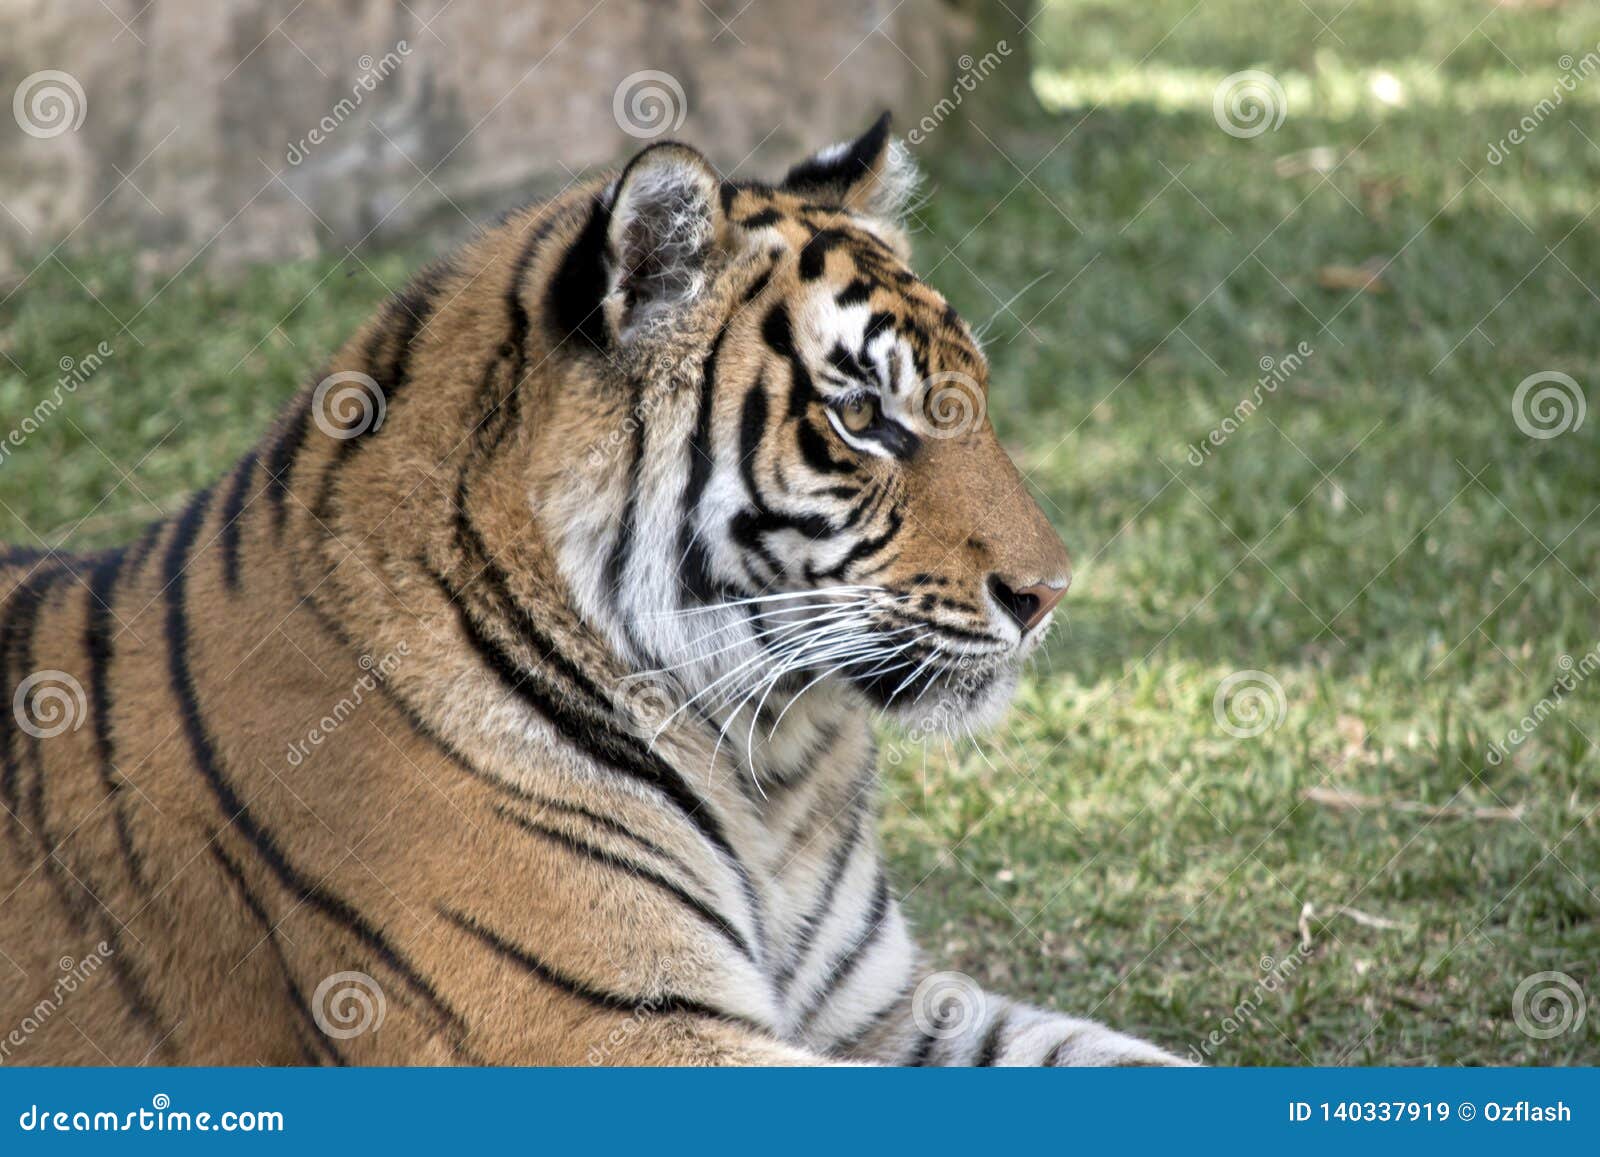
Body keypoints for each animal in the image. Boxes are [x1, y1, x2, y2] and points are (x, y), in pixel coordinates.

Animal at [0, 114, 1186, 1067]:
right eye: (862, 417)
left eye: (972, 394)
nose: (1049, 592)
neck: (771, 769)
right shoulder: (601, 1025)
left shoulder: (884, 1007)